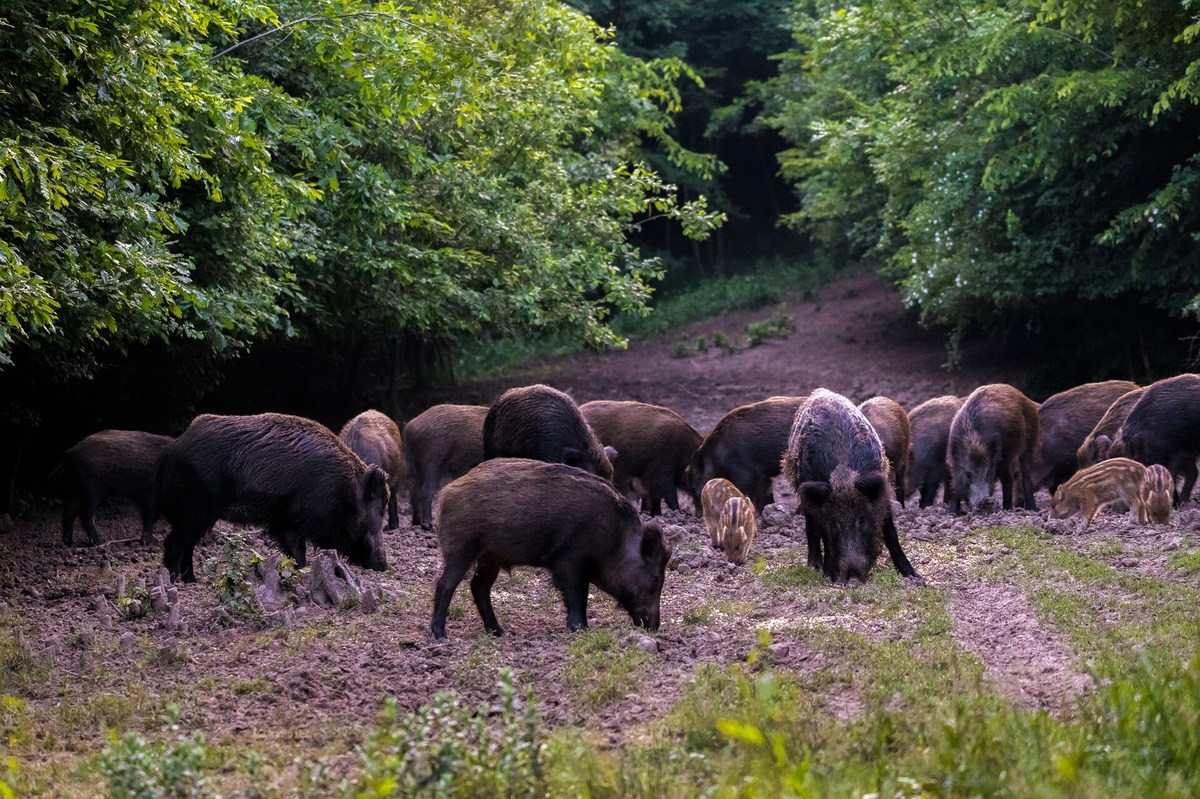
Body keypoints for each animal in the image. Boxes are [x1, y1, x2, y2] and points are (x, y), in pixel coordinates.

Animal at [157, 413, 389, 582]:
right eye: (379, 509)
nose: (384, 566)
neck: (346, 490)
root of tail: (170, 451)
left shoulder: (287, 521)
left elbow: (296, 552)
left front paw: (299, 573)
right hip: (195, 509)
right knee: (174, 543)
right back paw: (175, 582)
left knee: (187, 546)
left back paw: (191, 581)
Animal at [430, 458, 670, 640]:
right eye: (655, 578)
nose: (654, 626)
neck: (614, 540)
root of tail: (445, 494)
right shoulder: (567, 561)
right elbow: (577, 596)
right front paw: (581, 631)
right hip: (462, 548)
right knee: (445, 584)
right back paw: (440, 636)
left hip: (491, 557)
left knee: (478, 586)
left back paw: (500, 633)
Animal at [782, 389, 921, 584]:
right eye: (835, 524)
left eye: (862, 520)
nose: (853, 579)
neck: (844, 478)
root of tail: (820, 391)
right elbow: (825, 535)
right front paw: (830, 578)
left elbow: (891, 532)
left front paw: (914, 576)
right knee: (812, 525)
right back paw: (814, 566)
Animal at [948, 384, 1040, 514]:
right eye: (968, 474)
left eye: (987, 473)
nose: (981, 503)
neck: (974, 441)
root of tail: (1027, 399)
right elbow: (955, 483)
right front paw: (952, 512)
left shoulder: (1001, 458)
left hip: (1029, 441)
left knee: (1022, 476)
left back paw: (1026, 509)